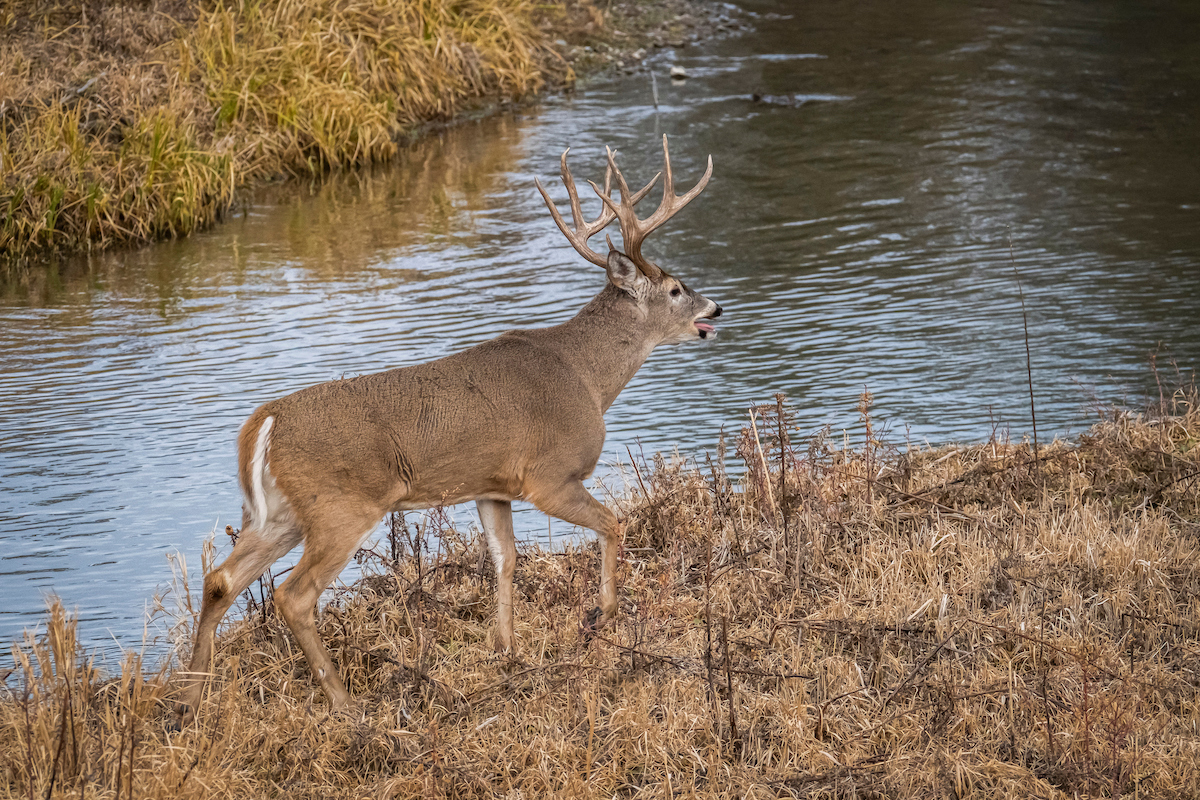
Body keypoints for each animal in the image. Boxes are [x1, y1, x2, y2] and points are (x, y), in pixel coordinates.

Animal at [176, 135, 722, 725]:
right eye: (675, 289)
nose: (715, 308)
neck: (586, 376)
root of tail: (264, 425)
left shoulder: (492, 487)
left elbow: (505, 559)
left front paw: (506, 650)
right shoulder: (549, 475)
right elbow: (612, 523)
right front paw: (600, 616)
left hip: (278, 514)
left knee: (220, 580)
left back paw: (189, 701)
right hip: (341, 506)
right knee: (293, 595)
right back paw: (345, 703)